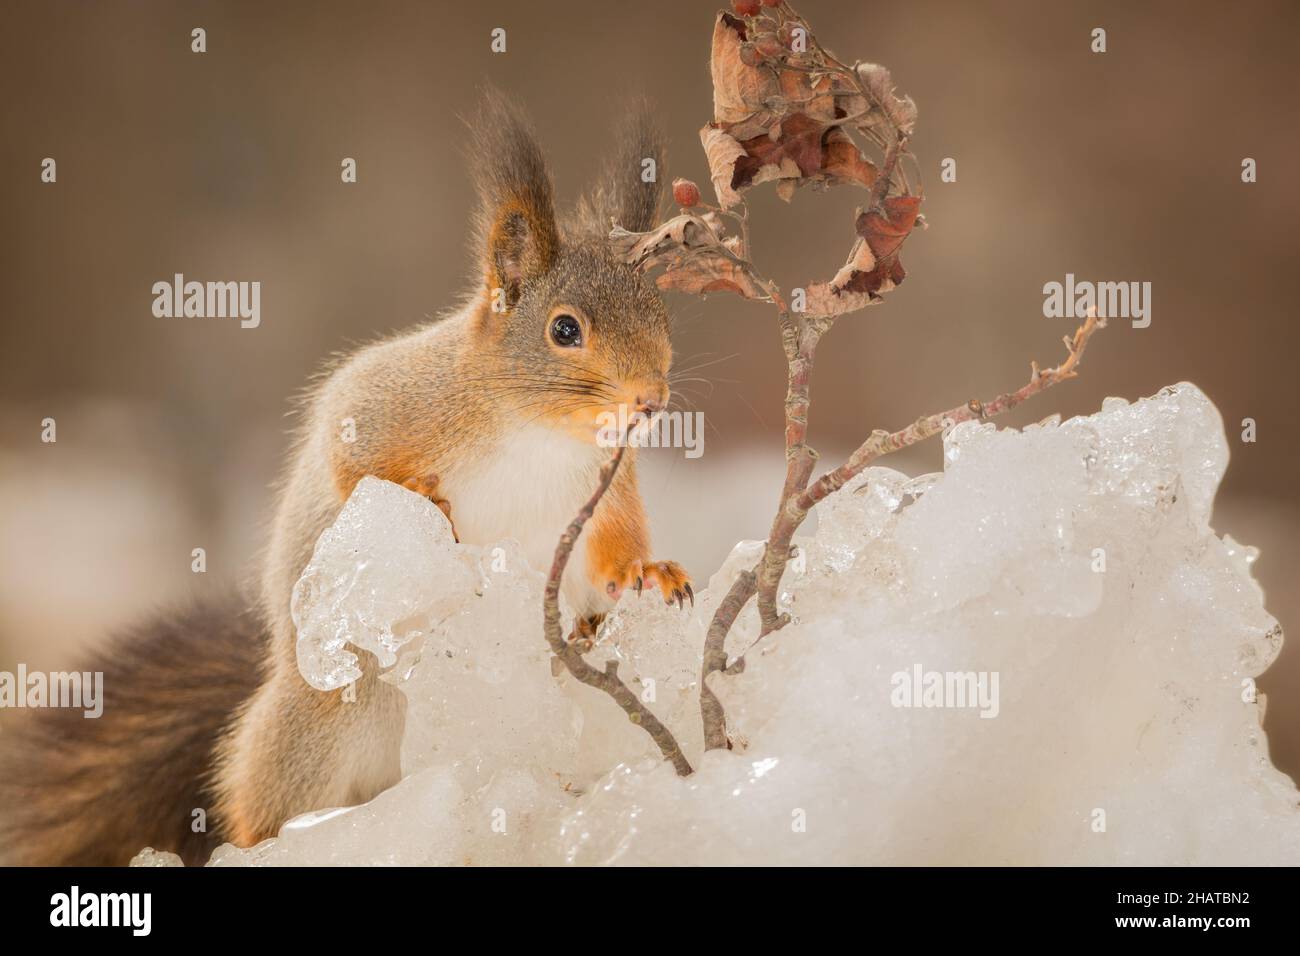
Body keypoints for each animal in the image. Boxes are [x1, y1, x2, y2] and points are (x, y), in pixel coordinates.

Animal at [0, 89, 691, 866]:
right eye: (564, 329)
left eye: (662, 313)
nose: (651, 399)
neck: (537, 435)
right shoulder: (385, 403)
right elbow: (348, 456)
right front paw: (428, 508)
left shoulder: (605, 485)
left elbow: (612, 553)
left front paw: (648, 572)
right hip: (321, 723)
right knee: (264, 803)